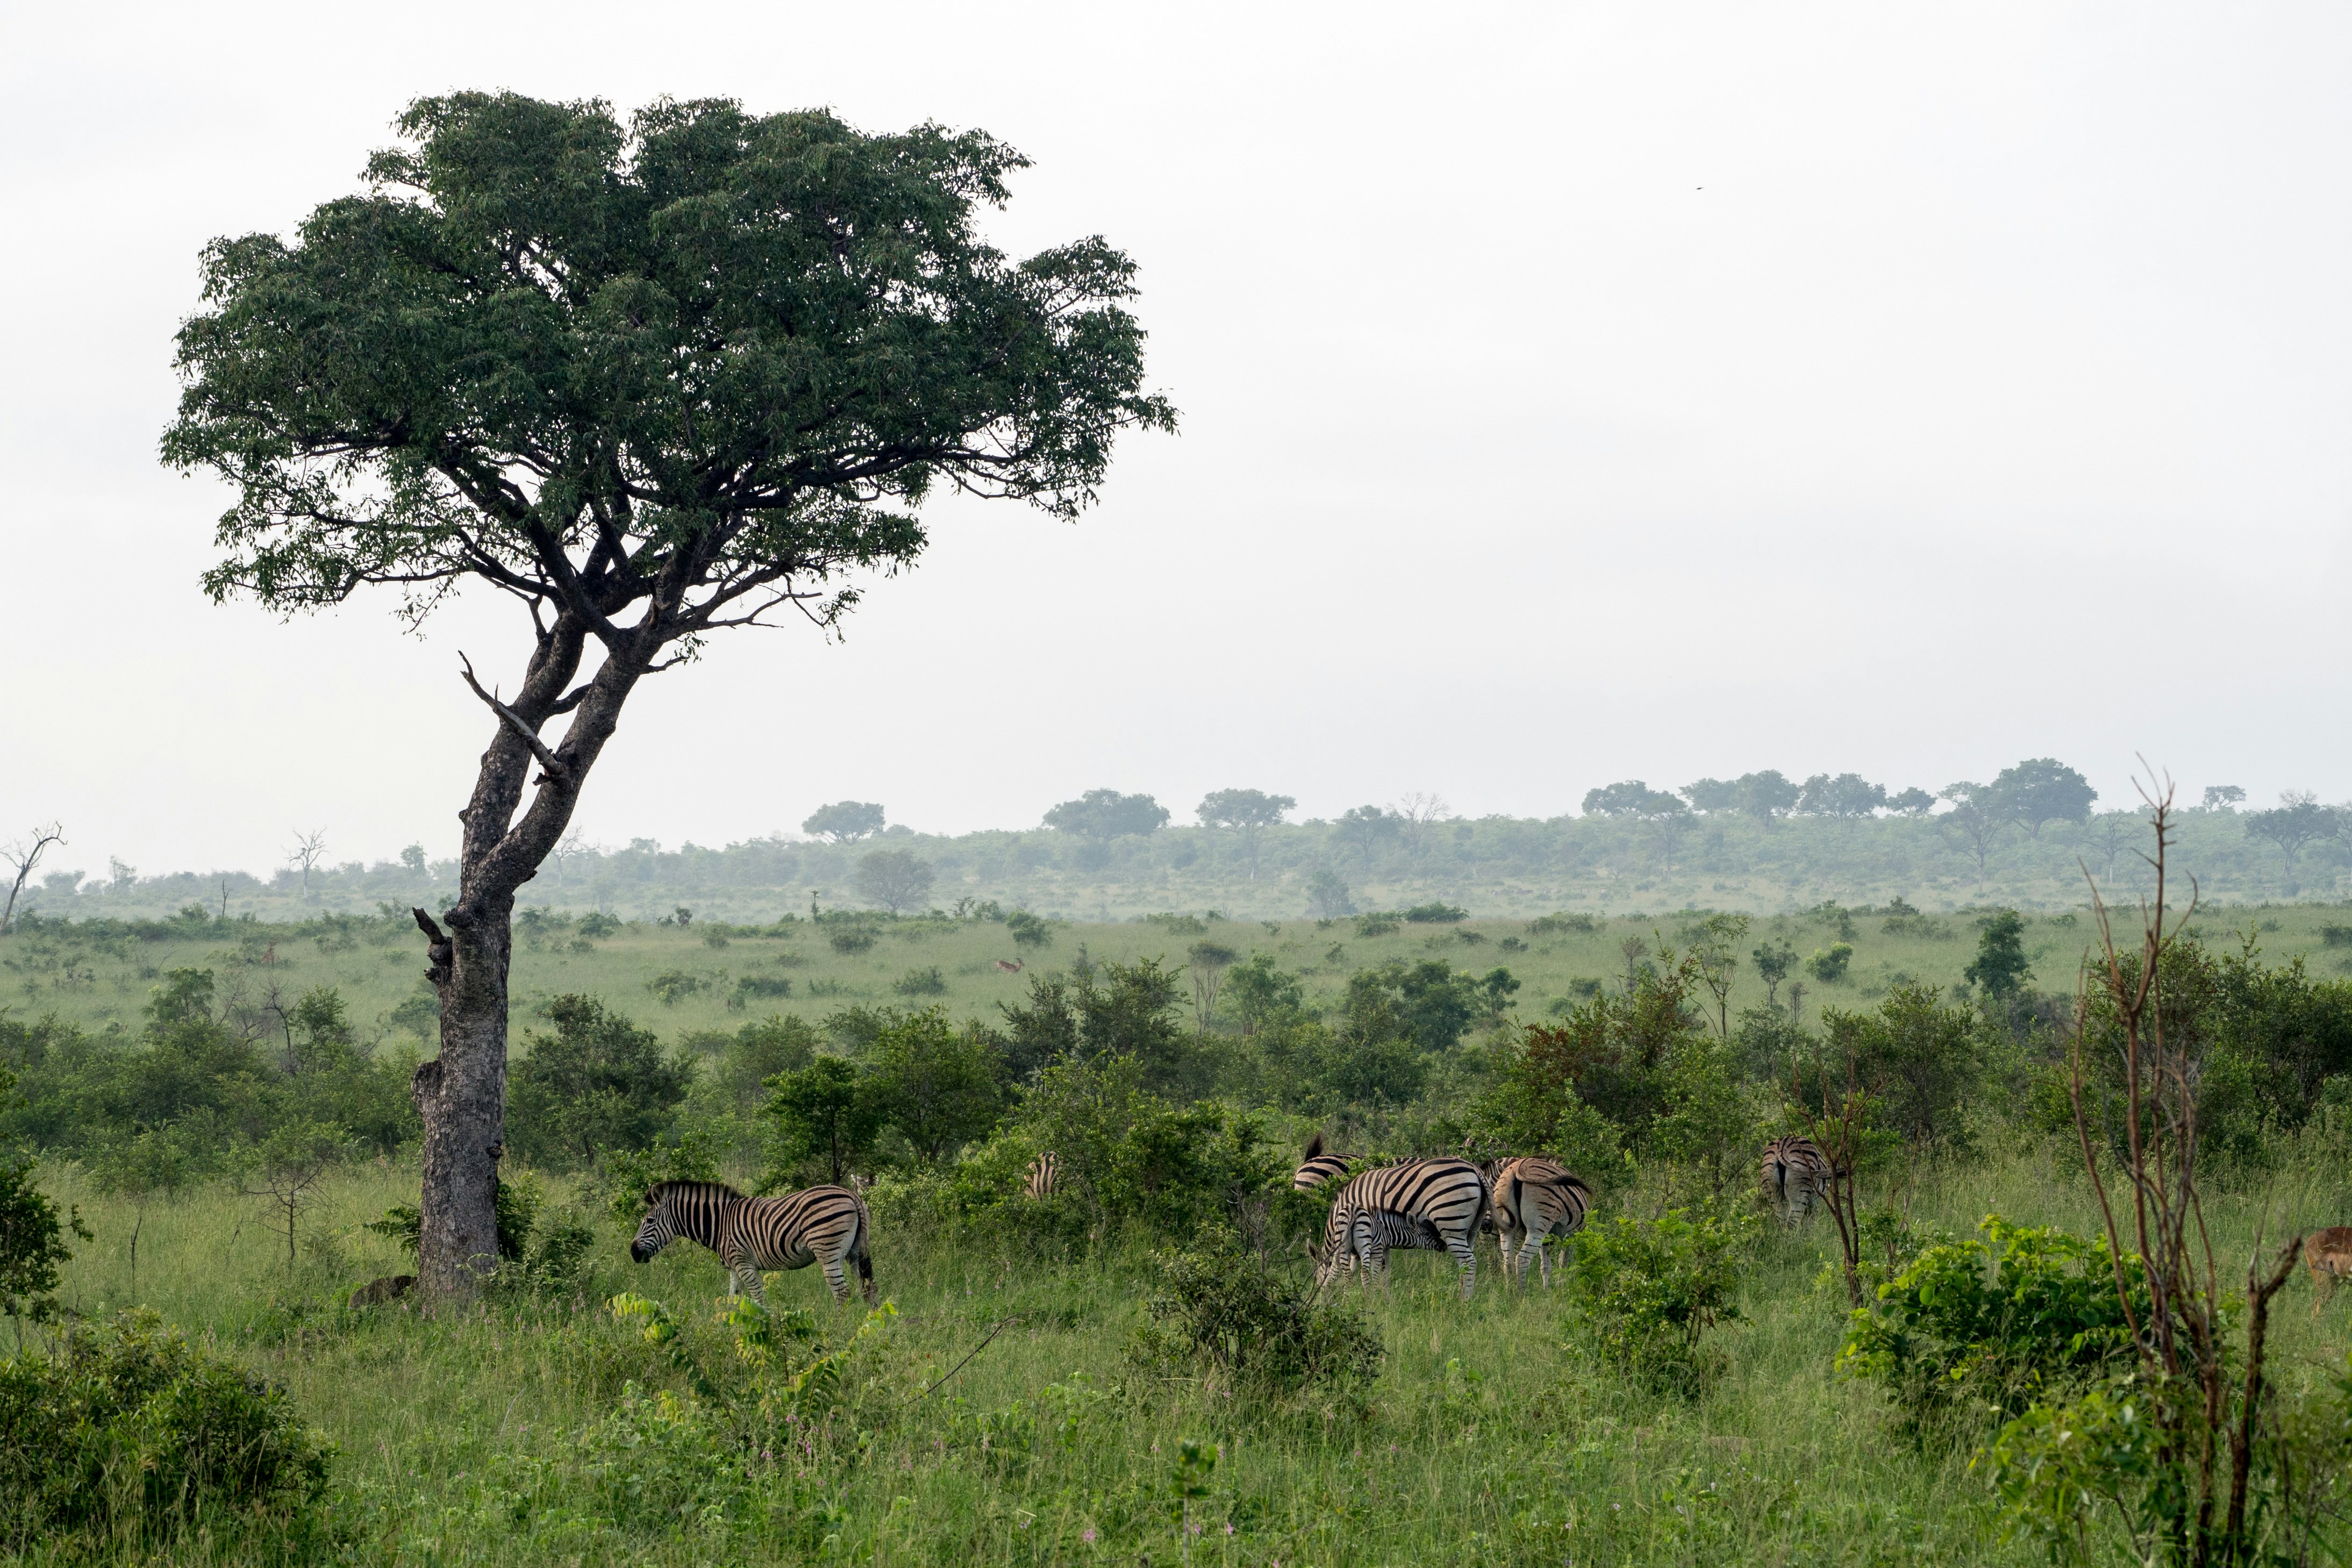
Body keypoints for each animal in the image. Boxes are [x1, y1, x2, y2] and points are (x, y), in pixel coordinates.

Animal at [629, 1180, 876, 1305]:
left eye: (649, 1221)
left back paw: (837, 1325)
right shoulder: (734, 1267)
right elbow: (733, 1300)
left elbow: (758, 1298)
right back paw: (868, 1321)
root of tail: (851, 1194)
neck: (720, 1224)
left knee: (842, 1291)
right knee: (868, 1286)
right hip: (855, 1252)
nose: (633, 1253)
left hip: (828, 1251)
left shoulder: (744, 1263)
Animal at [1313, 1158, 1491, 1300]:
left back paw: (1465, 1301)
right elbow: (1383, 1270)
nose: (1321, 1300)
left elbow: (1359, 1268)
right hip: (1472, 1228)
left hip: (1450, 1224)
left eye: (1317, 1278)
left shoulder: (1370, 1233)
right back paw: (1461, 1295)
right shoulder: (1382, 1237)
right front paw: (1386, 1299)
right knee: (1465, 1263)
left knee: (1469, 1262)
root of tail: (1474, 1169)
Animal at [1488, 1158, 1592, 1287]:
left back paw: (1509, 1291)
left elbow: (1546, 1266)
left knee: (1508, 1262)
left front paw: (1547, 1290)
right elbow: (1563, 1261)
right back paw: (1522, 1292)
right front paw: (1561, 1287)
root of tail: (1516, 1169)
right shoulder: (1570, 1235)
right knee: (1522, 1259)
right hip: (1538, 1227)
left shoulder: (1548, 1240)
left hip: (1508, 1228)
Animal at [1760, 1135, 1832, 1223]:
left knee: (1782, 1219)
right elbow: (1810, 1224)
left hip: (1772, 1188)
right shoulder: (1814, 1205)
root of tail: (1783, 1145)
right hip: (1799, 1193)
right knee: (1792, 1222)